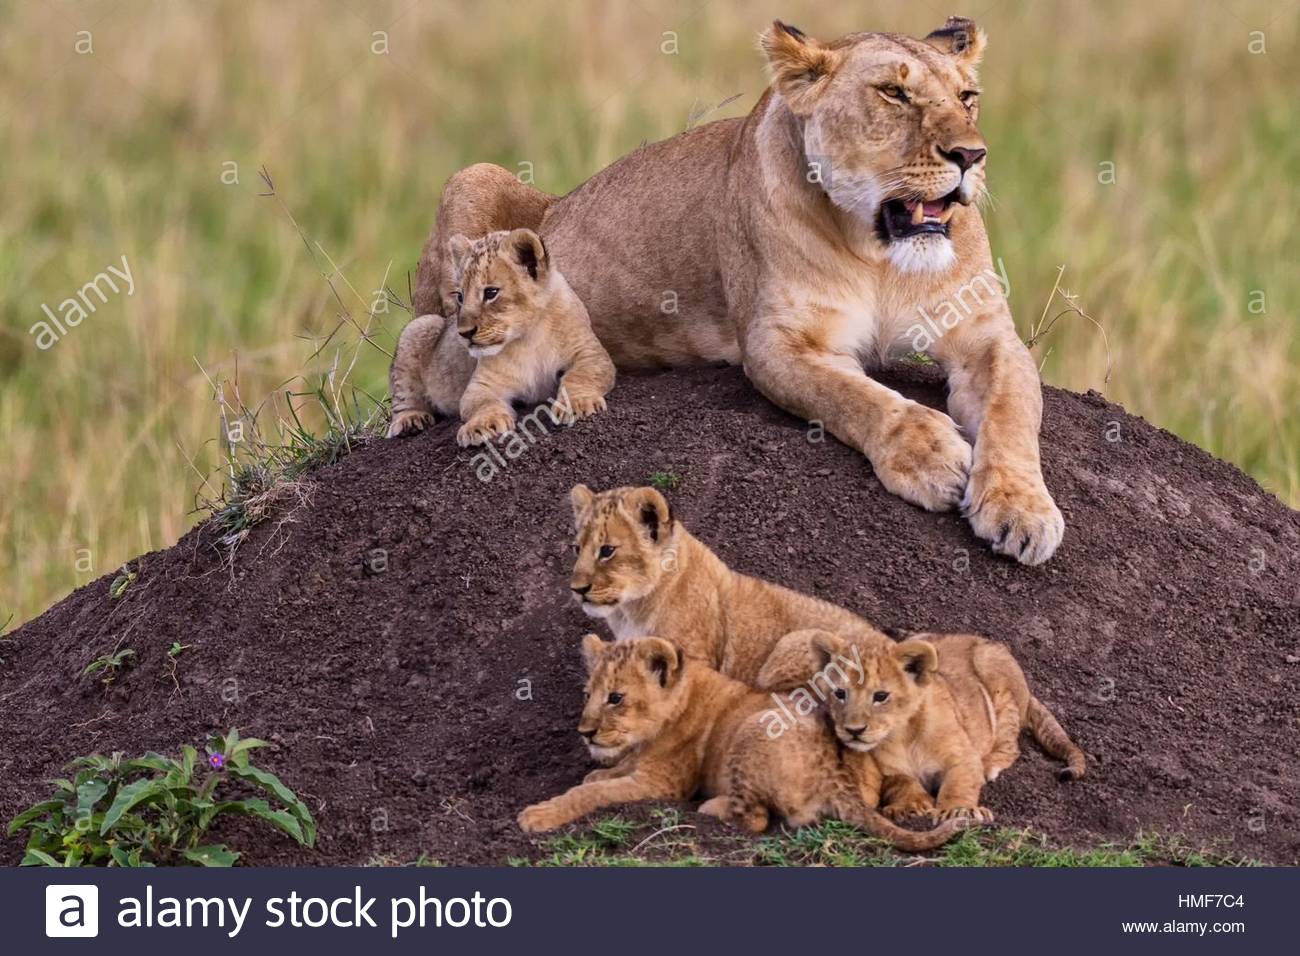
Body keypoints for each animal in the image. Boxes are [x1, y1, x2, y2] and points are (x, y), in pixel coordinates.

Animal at [388, 228, 615, 446]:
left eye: (491, 293)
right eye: (460, 296)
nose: (464, 333)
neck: (528, 336)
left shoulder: (590, 354)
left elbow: (580, 376)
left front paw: (578, 404)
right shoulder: (482, 384)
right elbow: (481, 403)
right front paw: (480, 427)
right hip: (420, 326)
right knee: (403, 397)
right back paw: (410, 420)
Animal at [412, 16, 1064, 564]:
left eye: (968, 97)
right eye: (893, 93)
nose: (972, 155)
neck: (880, 254)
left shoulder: (985, 334)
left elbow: (1012, 410)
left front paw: (1023, 510)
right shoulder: (778, 344)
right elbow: (858, 398)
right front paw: (930, 455)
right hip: (470, 178)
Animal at [517, 633, 970, 851]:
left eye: (615, 698)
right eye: (587, 695)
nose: (585, 732)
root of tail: (836, 781)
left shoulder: (661, 784)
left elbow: (591, 794)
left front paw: (540, 814)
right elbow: (598, 779)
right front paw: (594, 774)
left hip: (752, 729)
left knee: (757, 819)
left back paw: (711, 807)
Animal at [756, 629, 1087, 822]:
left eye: (881, 696)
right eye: (840, 693)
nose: (853, 730)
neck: (902, 736)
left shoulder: (963, 757)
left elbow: (959, 783)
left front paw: (957, 809)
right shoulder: (890, 769)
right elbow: (903, 783)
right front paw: (910, 806)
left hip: (996, 678)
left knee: (1009, 744)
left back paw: (992, 764)